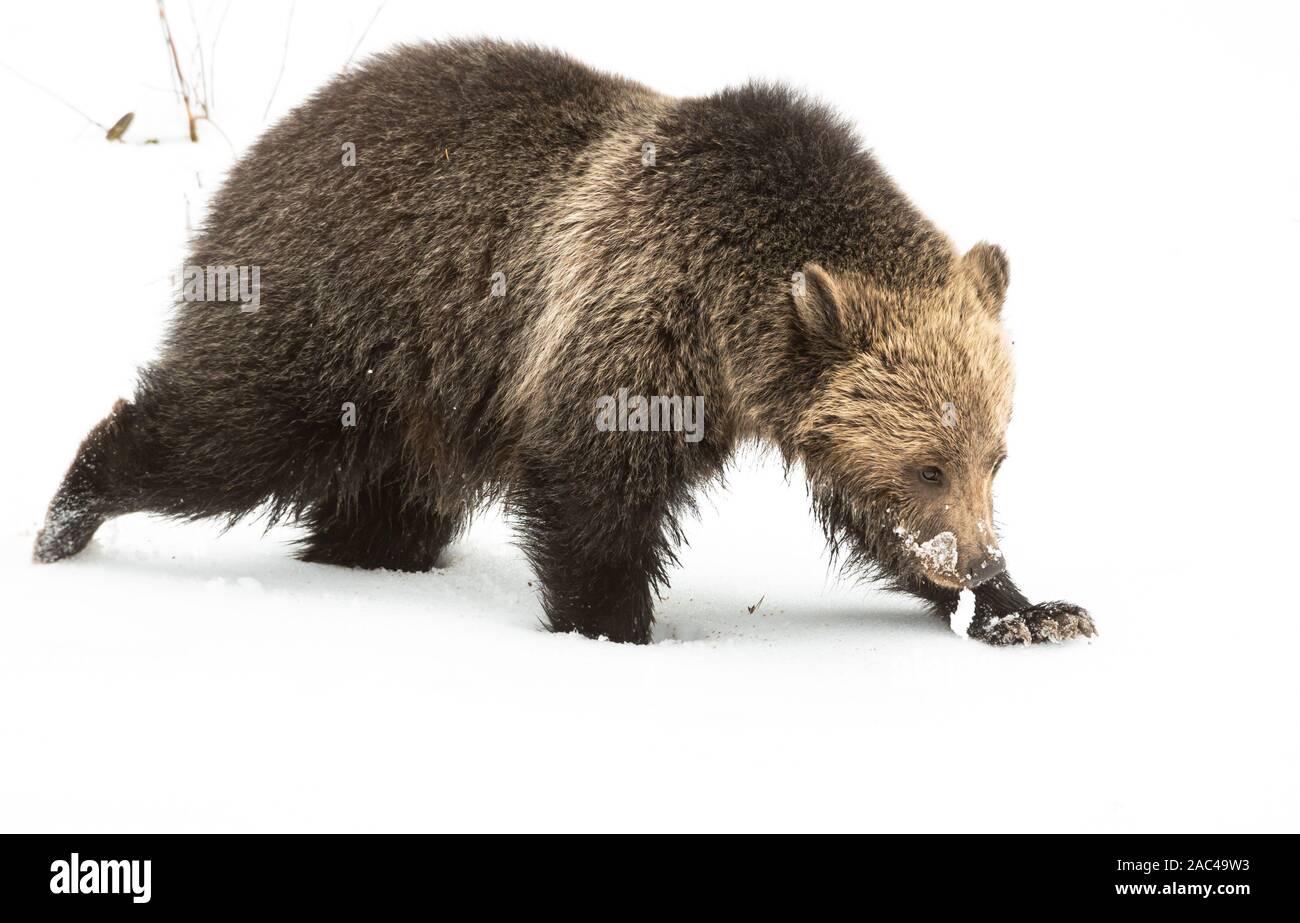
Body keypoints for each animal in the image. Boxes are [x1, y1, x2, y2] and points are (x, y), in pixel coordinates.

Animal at [33, 39, 1093, 646]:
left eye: (995, 455)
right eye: (926, 463)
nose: (978, 564)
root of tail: (261, 146)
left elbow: (868, 517)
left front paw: (1035, 611)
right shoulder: (636, 319)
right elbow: (591, 486)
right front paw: (614, 628)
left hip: (424, 395)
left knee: (389, 507)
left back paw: (358, 554)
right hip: (343, 314)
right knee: (222, 434)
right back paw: (66, 517)